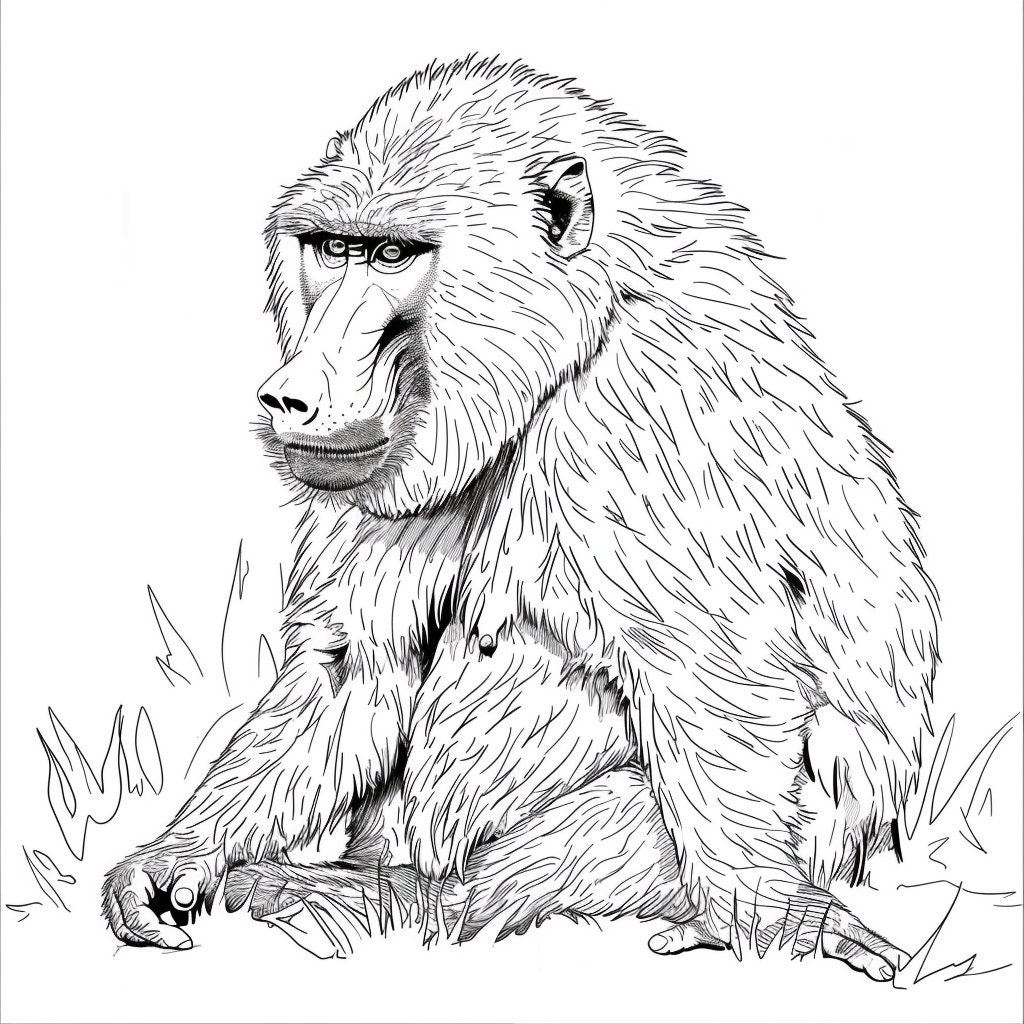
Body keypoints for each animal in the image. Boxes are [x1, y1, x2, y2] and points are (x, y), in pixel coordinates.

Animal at [102, 57, 937, 982]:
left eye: (393, 255)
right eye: (332, 249)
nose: (293, 393)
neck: (582, 333)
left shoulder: (632, 418)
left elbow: (718, 682)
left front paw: (777, 917)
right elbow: (355, 668)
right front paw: (174, 860)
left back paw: (388, 900)